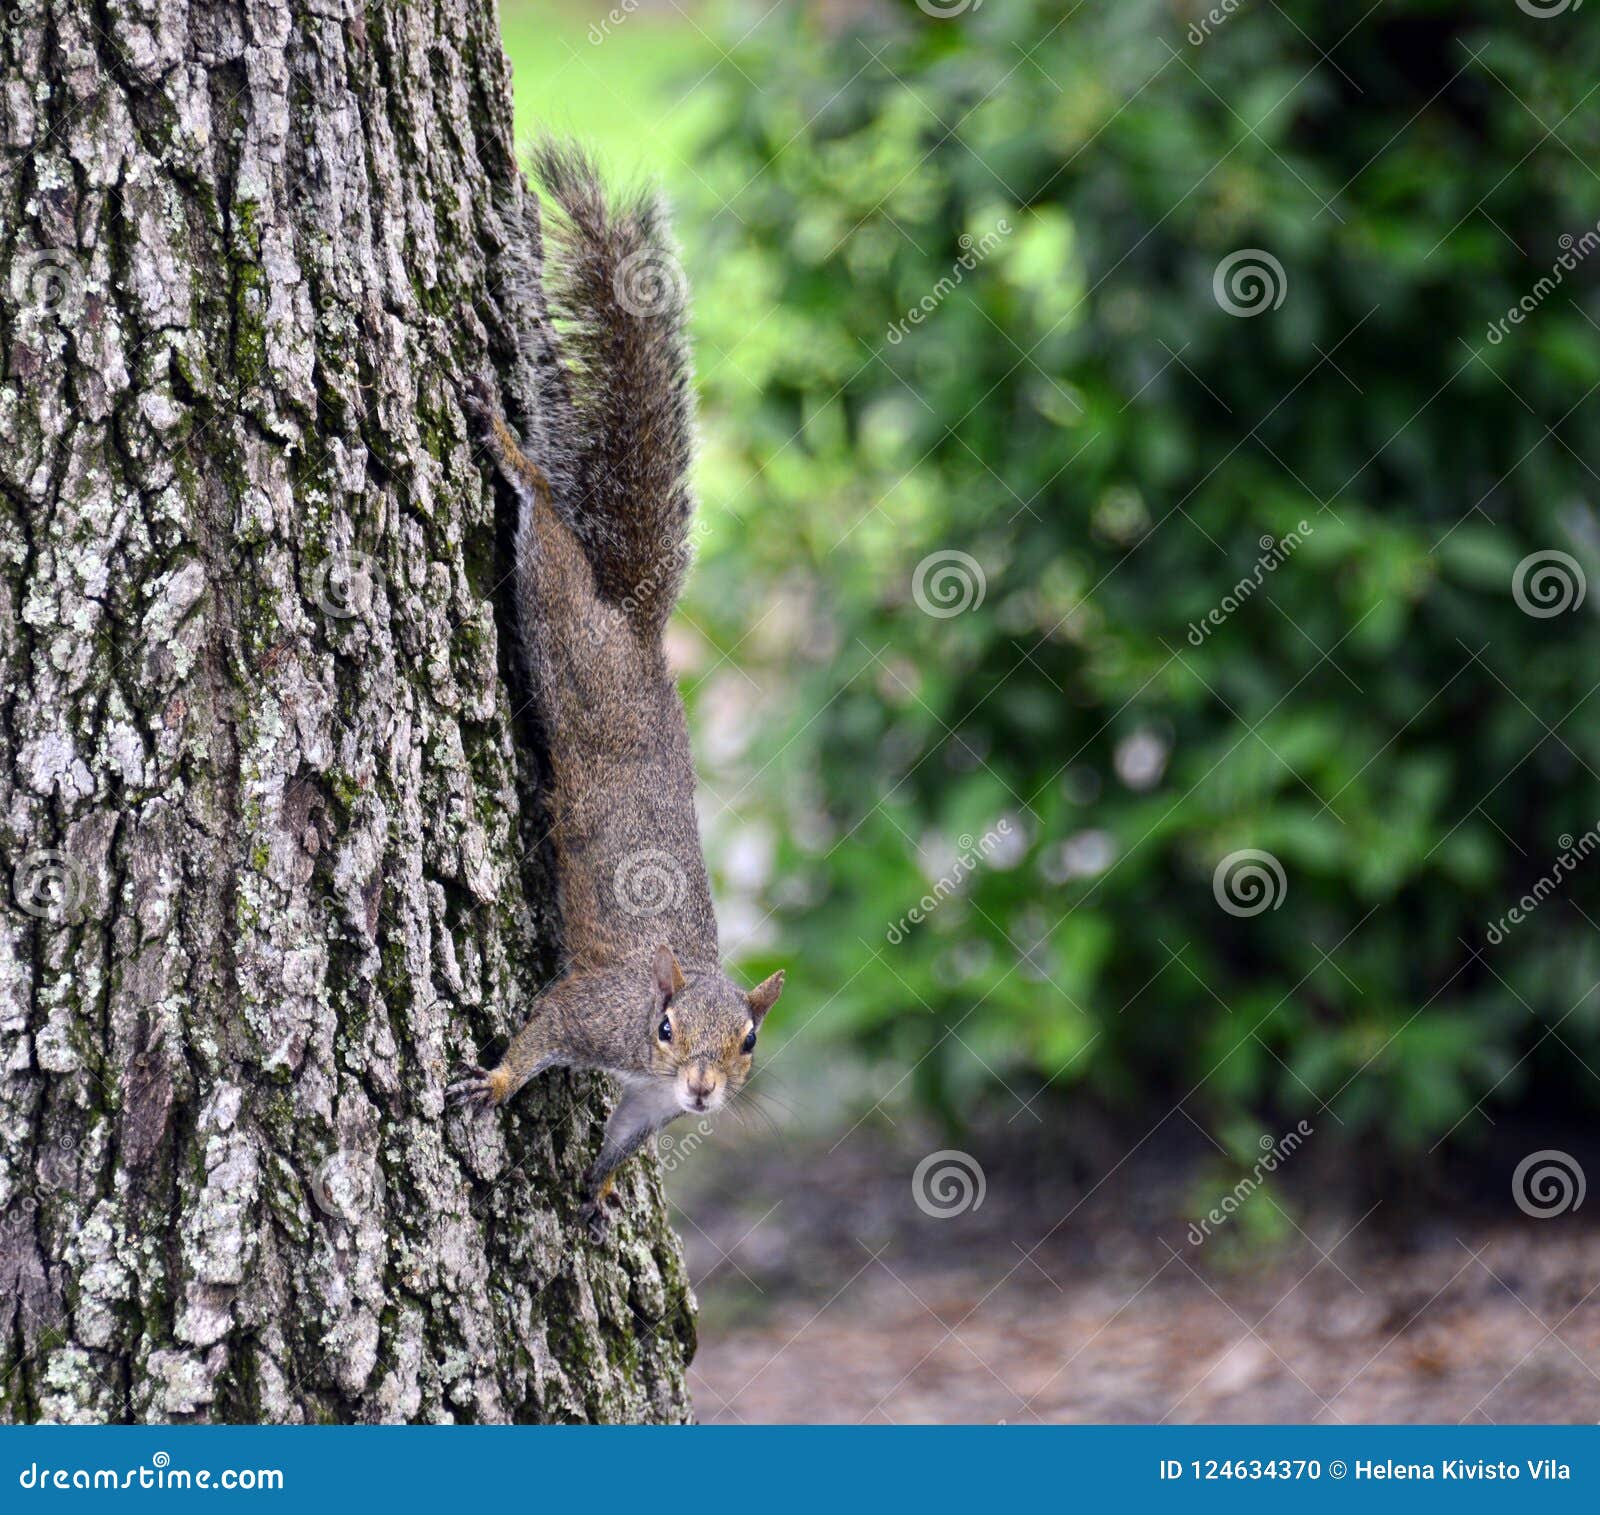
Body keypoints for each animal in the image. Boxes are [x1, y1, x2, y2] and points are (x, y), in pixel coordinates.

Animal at [449, 144, 784, 1235]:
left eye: (750, 1042)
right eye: (666, 1023)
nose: (705, 1093)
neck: (650, 1057)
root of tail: (637, 633)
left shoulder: (644, 1104)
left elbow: (624, 1139)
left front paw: (596, 1190)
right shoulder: (592, 1013)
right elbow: (538, 1031)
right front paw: (496, 1082)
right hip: (568, 638)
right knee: (546, 538)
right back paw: (514, 456)